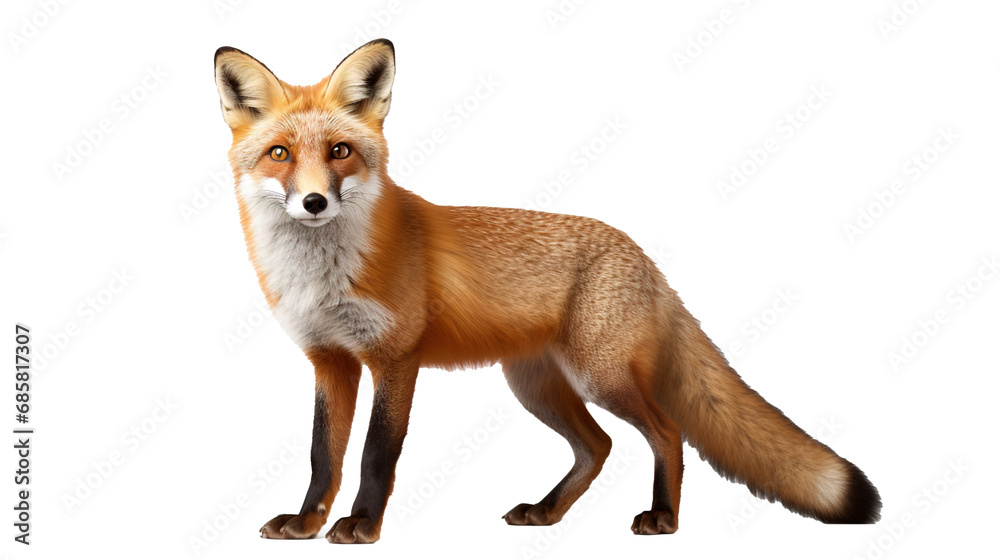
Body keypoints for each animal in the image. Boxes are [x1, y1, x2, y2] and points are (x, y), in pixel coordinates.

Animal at [212, 39, 881, 544]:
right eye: (279, 154)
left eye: (341, 151)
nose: (314, 202)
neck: (323, 278)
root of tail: (644, 258)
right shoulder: (331, 362)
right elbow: (323, 454)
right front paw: (306, 523)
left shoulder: (395, 360)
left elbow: (377, 453)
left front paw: (361, 527)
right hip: (536, 386)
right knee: (598, 446)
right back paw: (549, 512)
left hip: (599, 377)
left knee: (666, 431)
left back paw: (663, 517)